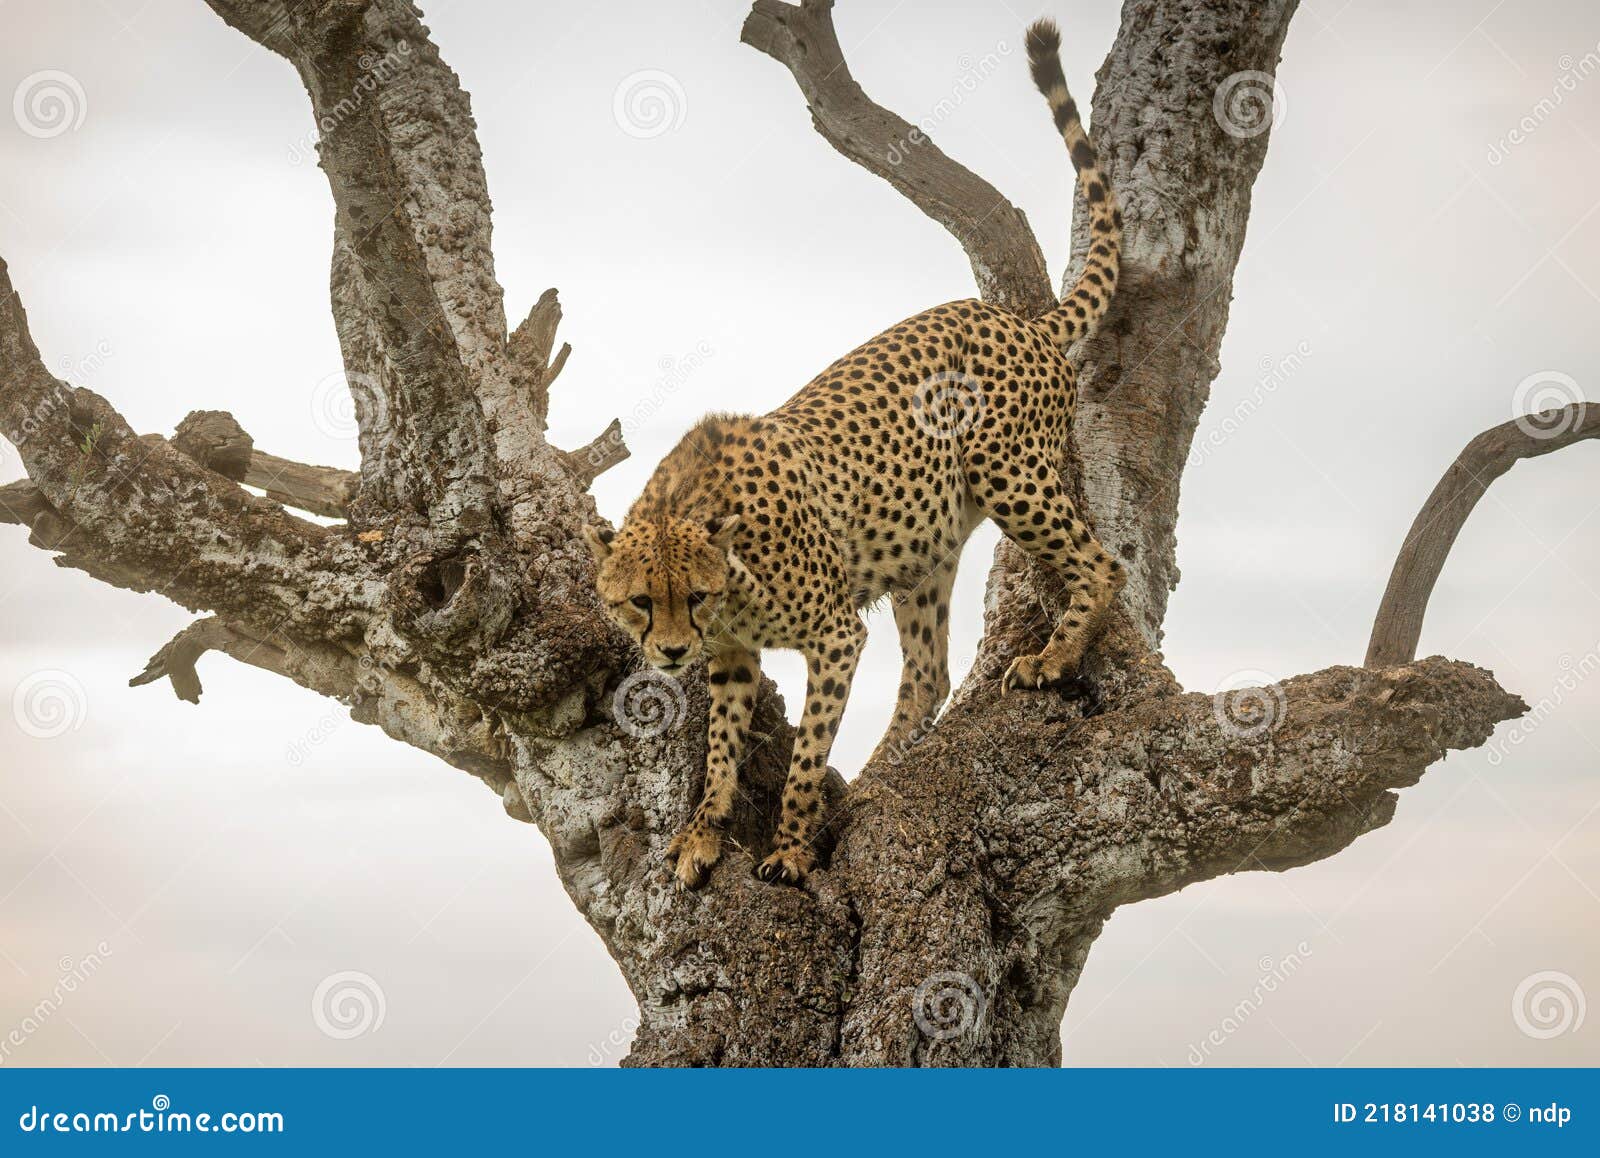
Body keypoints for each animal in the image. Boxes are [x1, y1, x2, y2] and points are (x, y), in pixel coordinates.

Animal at [586, 18, 1124, 890]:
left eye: (690, 598)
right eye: (641, 600)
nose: (668, 651)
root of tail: (1019, 320)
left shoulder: (835, 637)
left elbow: (805, 754)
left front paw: (790, 847)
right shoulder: (731, 656)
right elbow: (721, 750)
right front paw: (703, 832)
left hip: (1010, 474)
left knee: (1101, 562)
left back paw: (1053, 656)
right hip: (922, 546)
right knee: (930, 671)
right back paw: (876, 774)